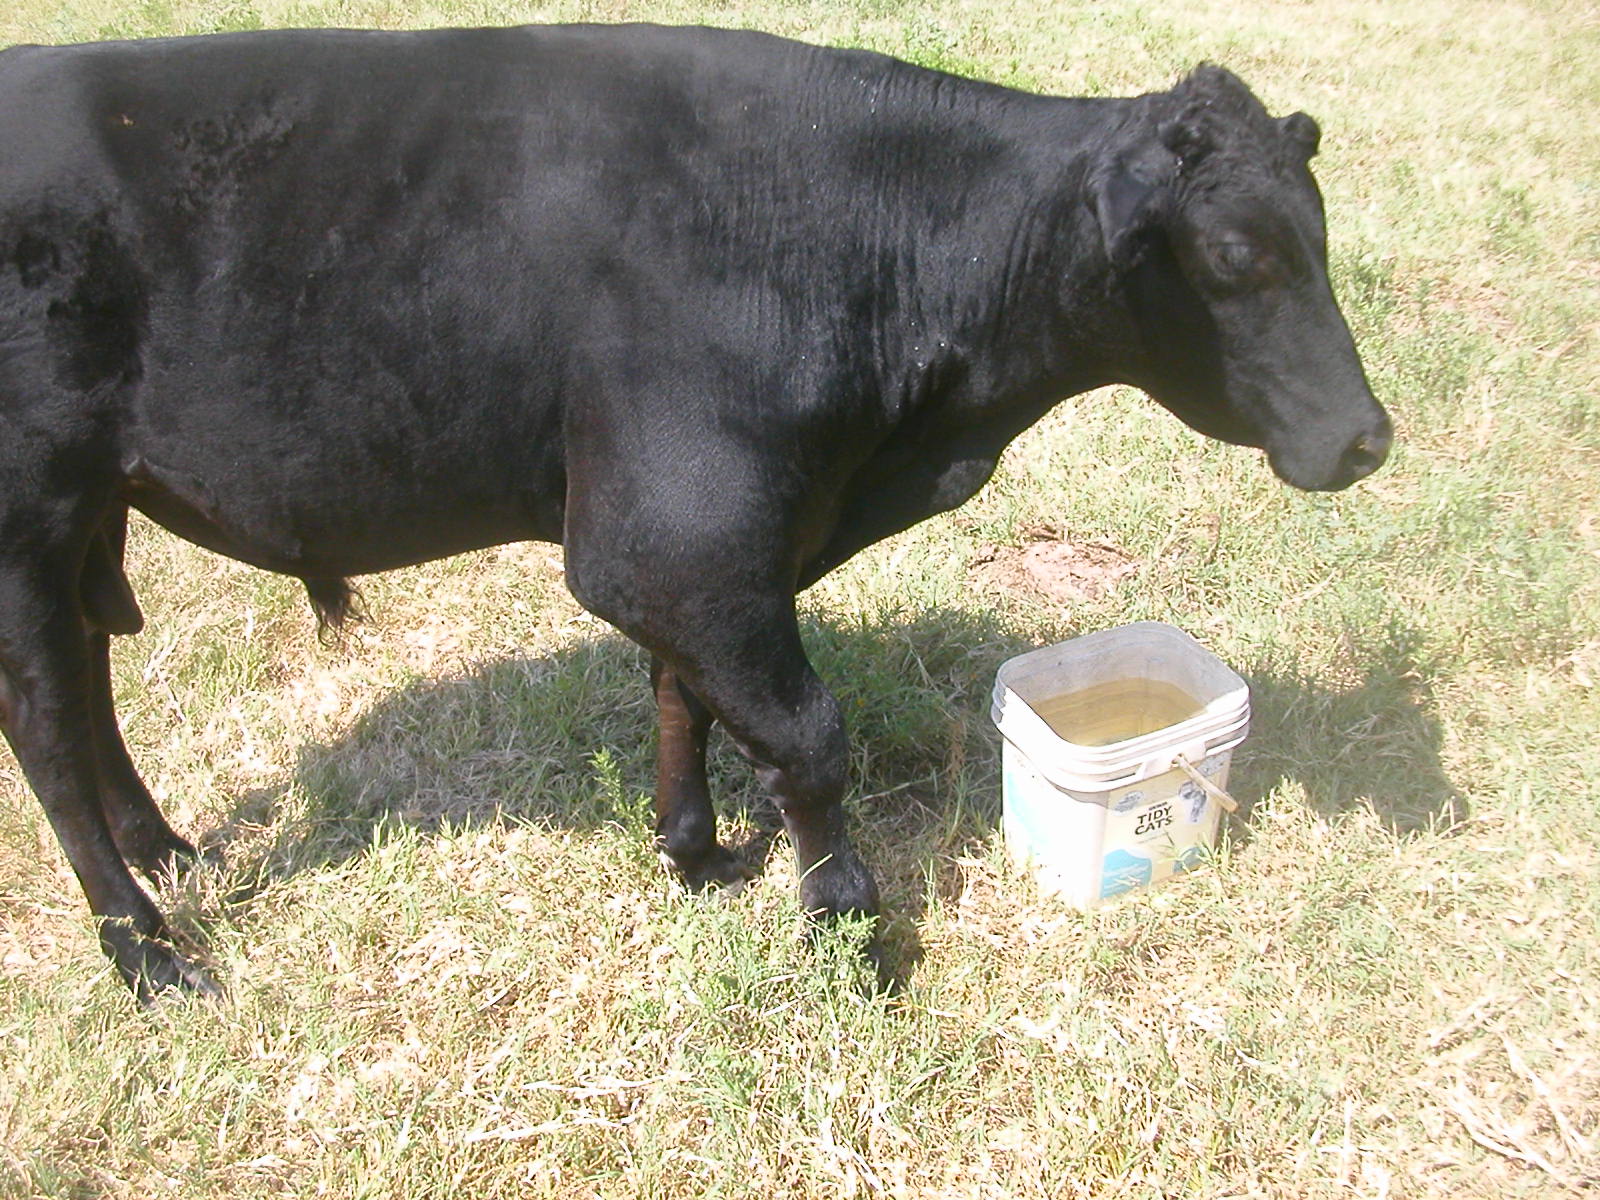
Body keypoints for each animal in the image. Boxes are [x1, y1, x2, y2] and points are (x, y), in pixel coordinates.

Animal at [0, 23, 1390, 999]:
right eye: (1237, 258)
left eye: (1320, 235)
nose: (1366, 436)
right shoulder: (671, 530)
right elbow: (806, 735)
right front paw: (846, 926)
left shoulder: (725, 538)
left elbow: (687, 692)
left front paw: (695, 851)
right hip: (27, 507)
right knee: (48, 727)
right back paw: (148, 951)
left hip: (92, 509)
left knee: (89, 677)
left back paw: (168, 849)